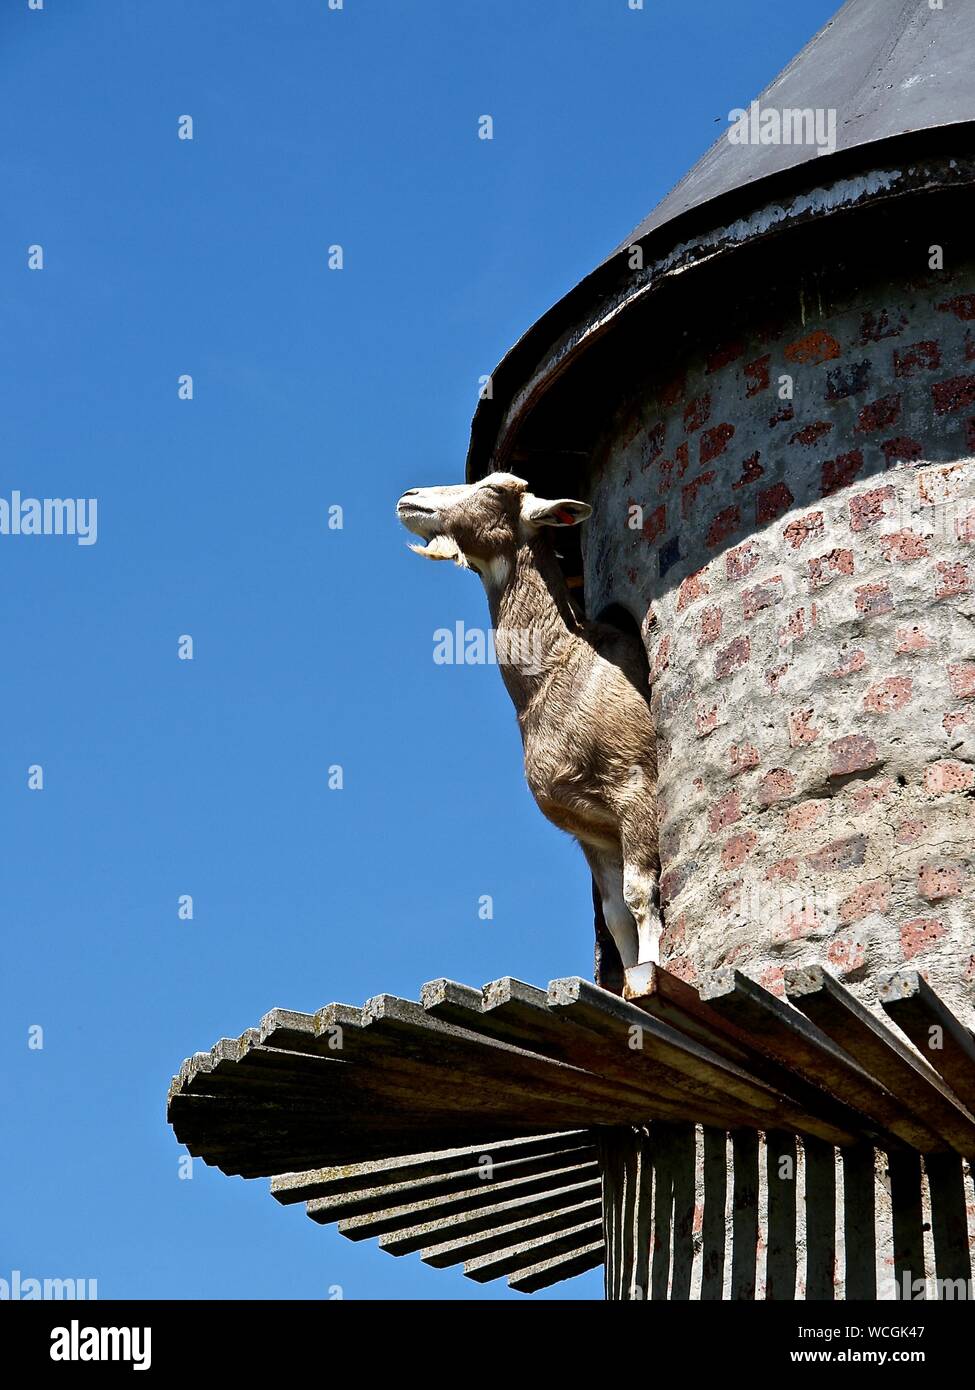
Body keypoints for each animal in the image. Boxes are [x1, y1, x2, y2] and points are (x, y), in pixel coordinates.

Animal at [397, 471, 661, 969]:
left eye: (494, 489)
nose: (409, 499)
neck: (563, 671)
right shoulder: (590, 829)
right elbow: (614, 915)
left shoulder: (633, 784)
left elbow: (639, 893)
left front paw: (650, 969)